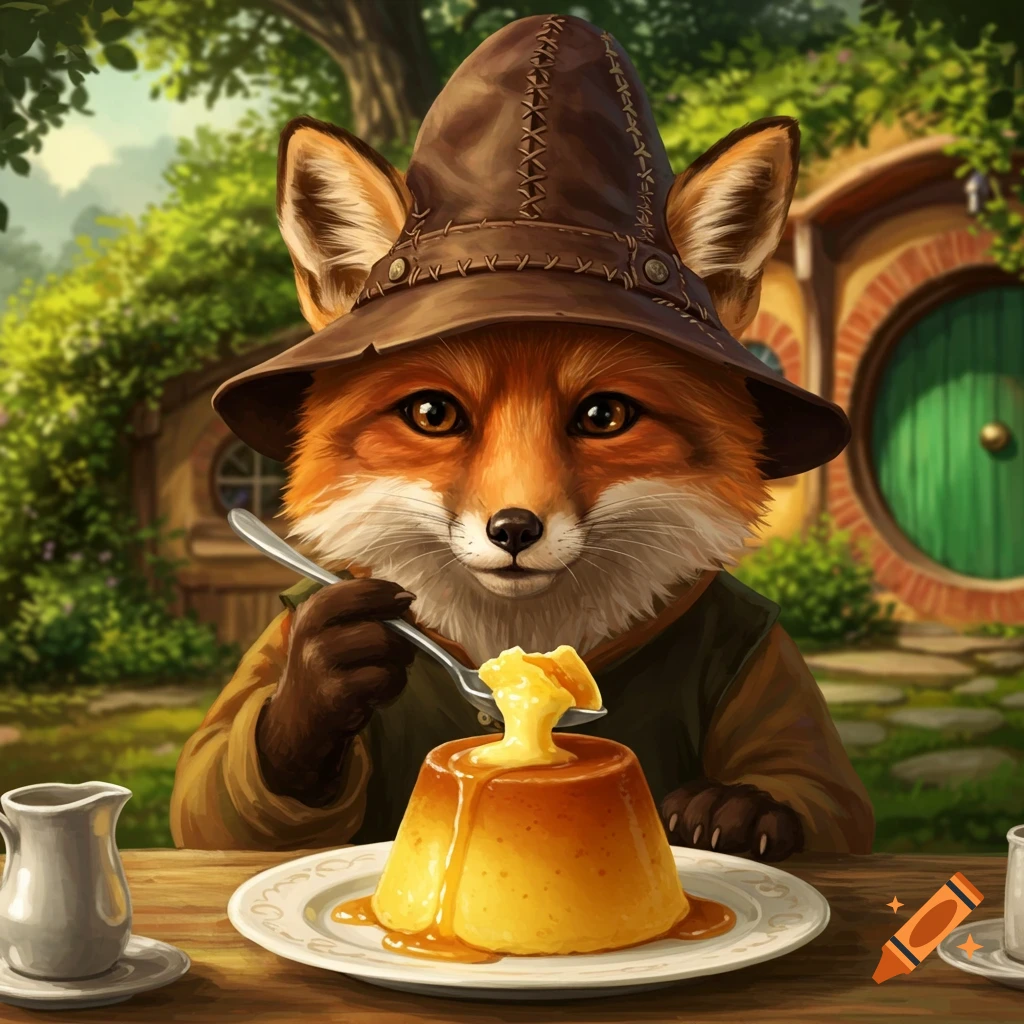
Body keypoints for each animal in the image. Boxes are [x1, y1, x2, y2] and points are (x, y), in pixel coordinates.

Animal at [170, 16, 874, 862]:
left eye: (604, 417)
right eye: (433, 414)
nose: (513, 529)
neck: (515, 637)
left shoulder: (768, 659)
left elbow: (827, 796)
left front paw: (737, 809)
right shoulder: (274, 645)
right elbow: (213, 804)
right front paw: (322, 675)